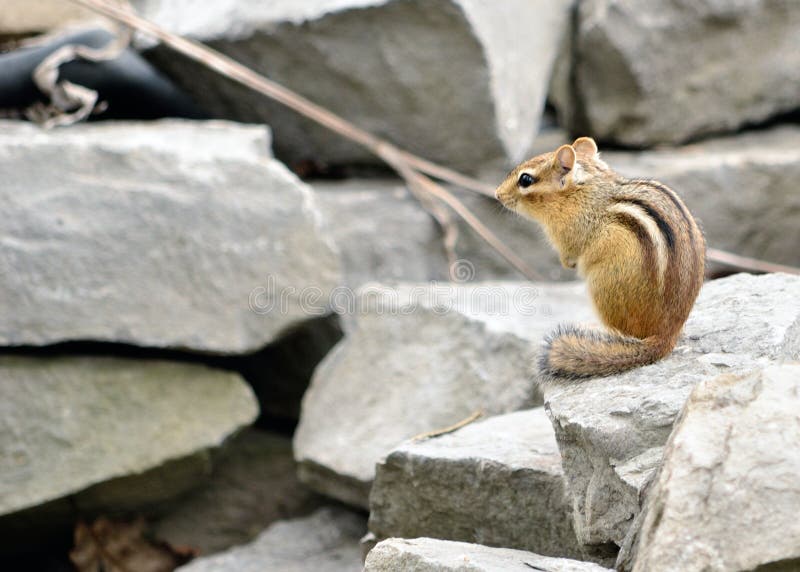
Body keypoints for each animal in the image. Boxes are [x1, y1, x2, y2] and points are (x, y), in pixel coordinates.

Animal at [495, 137, 705, 379]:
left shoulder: (569, 235)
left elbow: (570, 253)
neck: (584, 191)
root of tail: (666, 335)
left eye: (525, 179)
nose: (497, 194)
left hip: (602, 286)